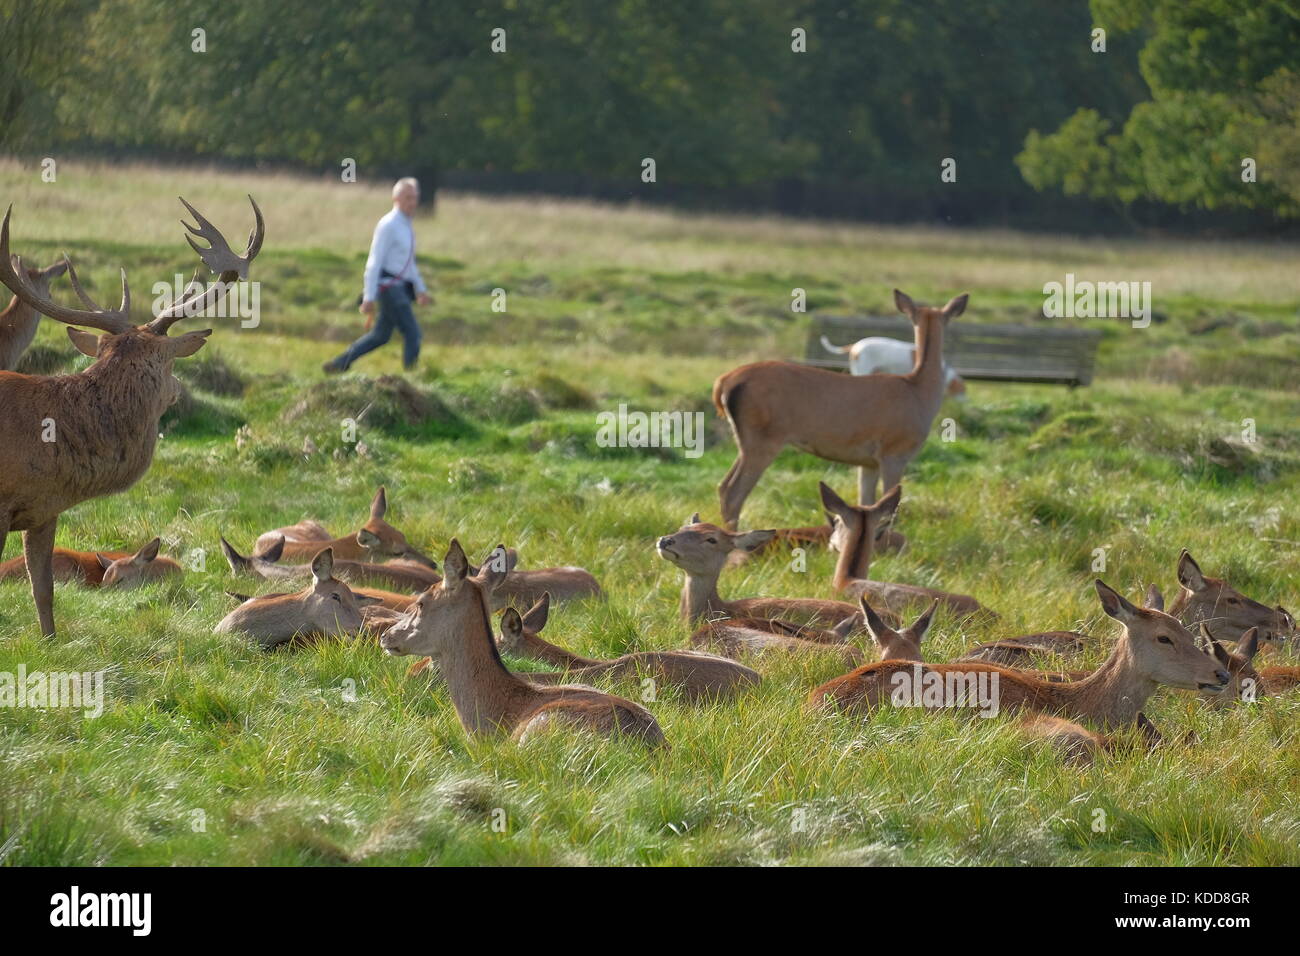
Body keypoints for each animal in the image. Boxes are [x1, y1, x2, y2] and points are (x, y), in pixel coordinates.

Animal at [714, 288, 967, 529]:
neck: (919, 393)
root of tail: (724, 382)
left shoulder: (868, 461)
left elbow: (868, 504)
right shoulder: (894, 451)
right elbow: (890, 509)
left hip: (748, 440)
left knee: (723, 486)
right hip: (764, 437)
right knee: (733, 491)